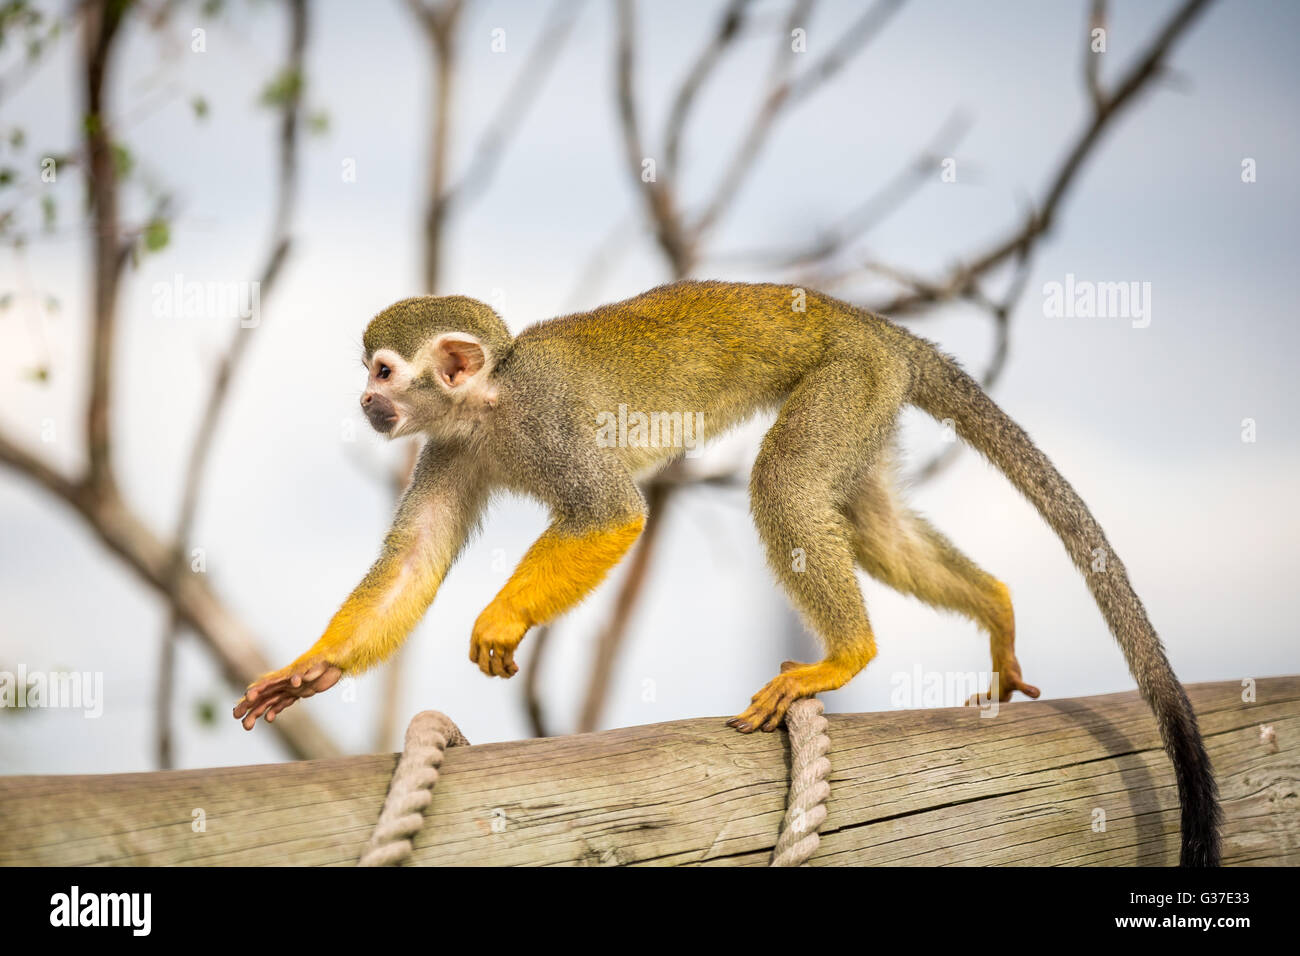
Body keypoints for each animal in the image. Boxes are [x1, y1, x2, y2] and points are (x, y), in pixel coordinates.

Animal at [232, 279, 1221, 866]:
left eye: (382, 370)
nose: (366, 402)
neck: (490, 404)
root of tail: (873, 325)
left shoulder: (546, 422)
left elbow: (612, 514)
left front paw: (500, 621)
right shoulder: (446, 446)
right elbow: (414, 559)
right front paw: (309, 670)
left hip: (847, 376)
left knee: (784, 480)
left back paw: (846, 655)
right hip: (868, 395)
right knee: (864, 515)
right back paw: (996, 607)